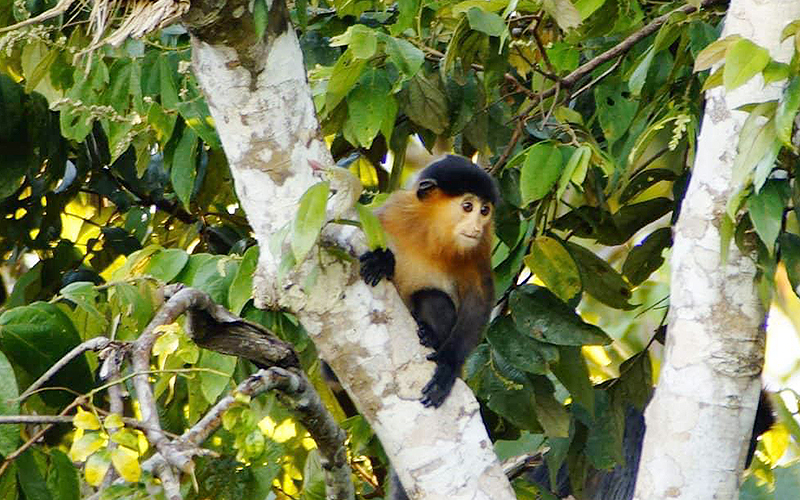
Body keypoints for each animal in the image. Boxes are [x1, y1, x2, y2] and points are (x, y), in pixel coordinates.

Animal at [359, 155, 499, 408]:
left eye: (484, 211)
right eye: (468, 207)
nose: (476, 227)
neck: (432, 232)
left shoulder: (481, 245)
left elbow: (479, 300)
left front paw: (448, 366)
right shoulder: (394, 211)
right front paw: (382, 260)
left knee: (432, 298)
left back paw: (430, 335)